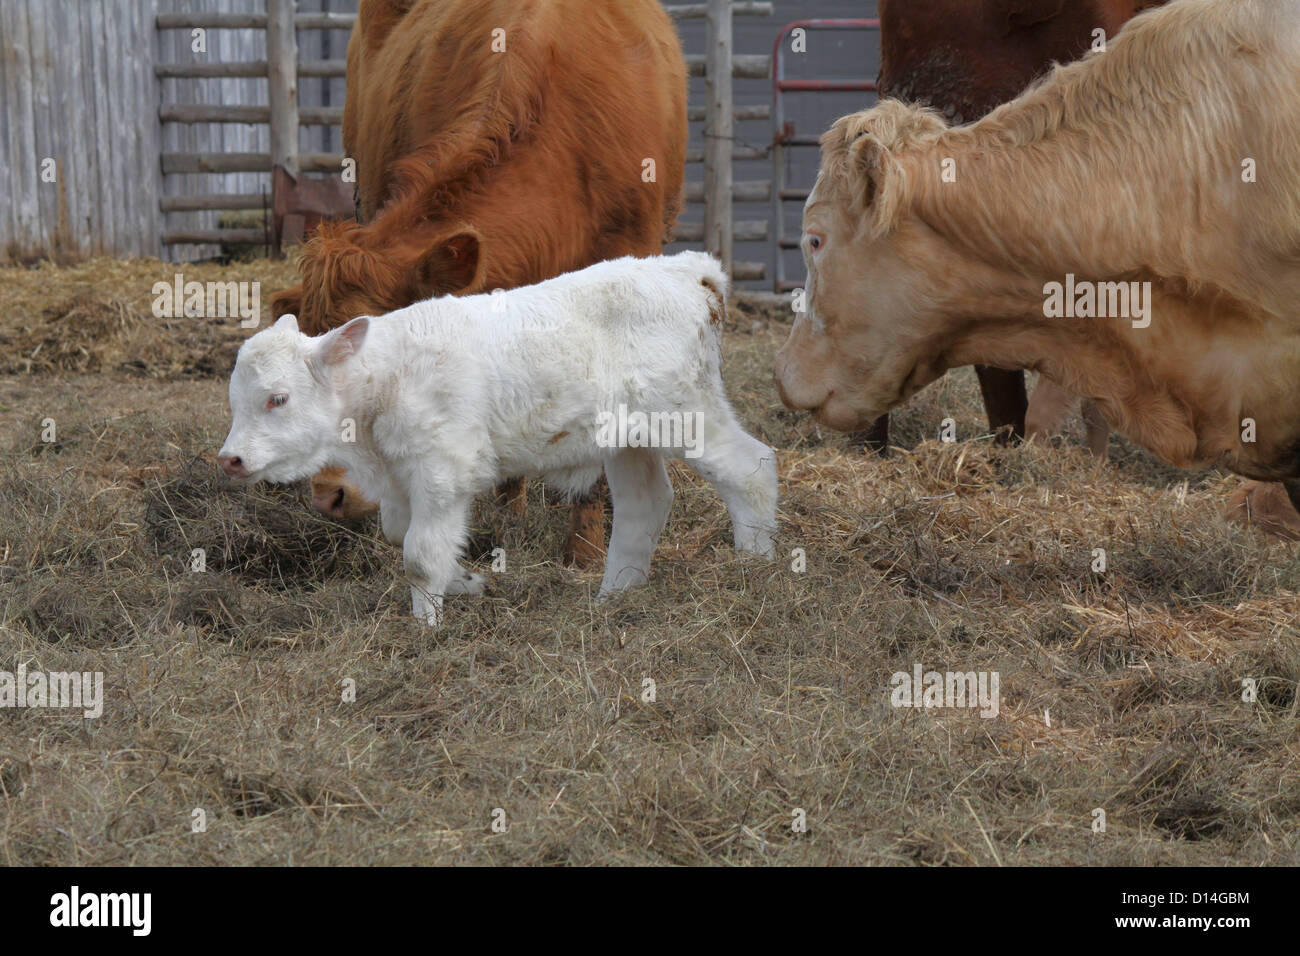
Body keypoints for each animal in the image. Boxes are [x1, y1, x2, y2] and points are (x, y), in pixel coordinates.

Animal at [221, 253, 779, 627]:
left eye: (277, 398)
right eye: (235, 400)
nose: (230, 459)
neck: (387, 376)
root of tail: (690, 269)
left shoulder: (443, 471)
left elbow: (419, 553)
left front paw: (425, 629)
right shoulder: (402, 478)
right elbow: (401, 534)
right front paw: (468, 582)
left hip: (688, 411)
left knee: (750, 468)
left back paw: (754, 572)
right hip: (629, 439)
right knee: (645, 503)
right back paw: (614, 596)